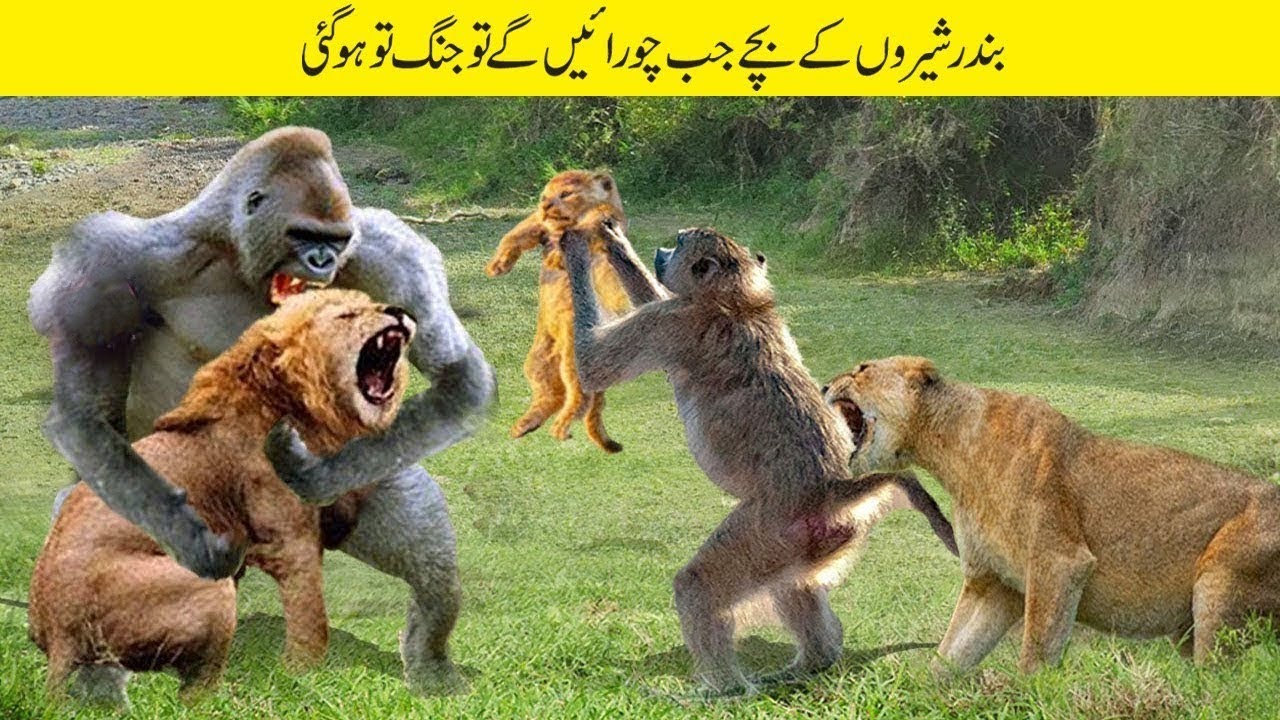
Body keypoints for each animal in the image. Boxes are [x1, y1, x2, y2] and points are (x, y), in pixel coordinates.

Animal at [28, 289, 414, 706]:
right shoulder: (290, 543)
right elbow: (310, 616)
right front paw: (303, 673)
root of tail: (58, 636)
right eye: (347, 315)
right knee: (193, 694)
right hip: (211, 588)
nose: (398, 311)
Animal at [485, 170, 630, 453]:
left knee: (580, 397)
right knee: (552, 394)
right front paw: (497, 266)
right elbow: (516, 233)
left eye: (566, 193)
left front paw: (556, 257)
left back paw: (560, 428)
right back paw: (524, 426)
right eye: (544, 195)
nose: (546, 205)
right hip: (538, 360)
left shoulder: (603, 223)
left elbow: (587, 227)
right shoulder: (537, 224)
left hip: (572, 361)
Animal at [559, 221, 958, 695]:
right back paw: (812, 662)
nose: (660, 249)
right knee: (793, 586)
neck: (738, 301)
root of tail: (832, 489)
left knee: (698, 587)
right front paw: (611, 240)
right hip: (810, 540)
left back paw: (721, 691)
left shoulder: (676, 321)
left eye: (680, 241)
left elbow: (593, 365)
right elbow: (649, 298)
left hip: (773, 527)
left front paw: (572, 244)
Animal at [823, 356, 1280, 674]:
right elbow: (949, 655)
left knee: (1219, 686)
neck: (955, 456)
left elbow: (1035, 654)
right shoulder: (993, 585)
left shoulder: (1059, 563)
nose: (826, 384)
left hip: (1220, 585)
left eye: (862, 369)